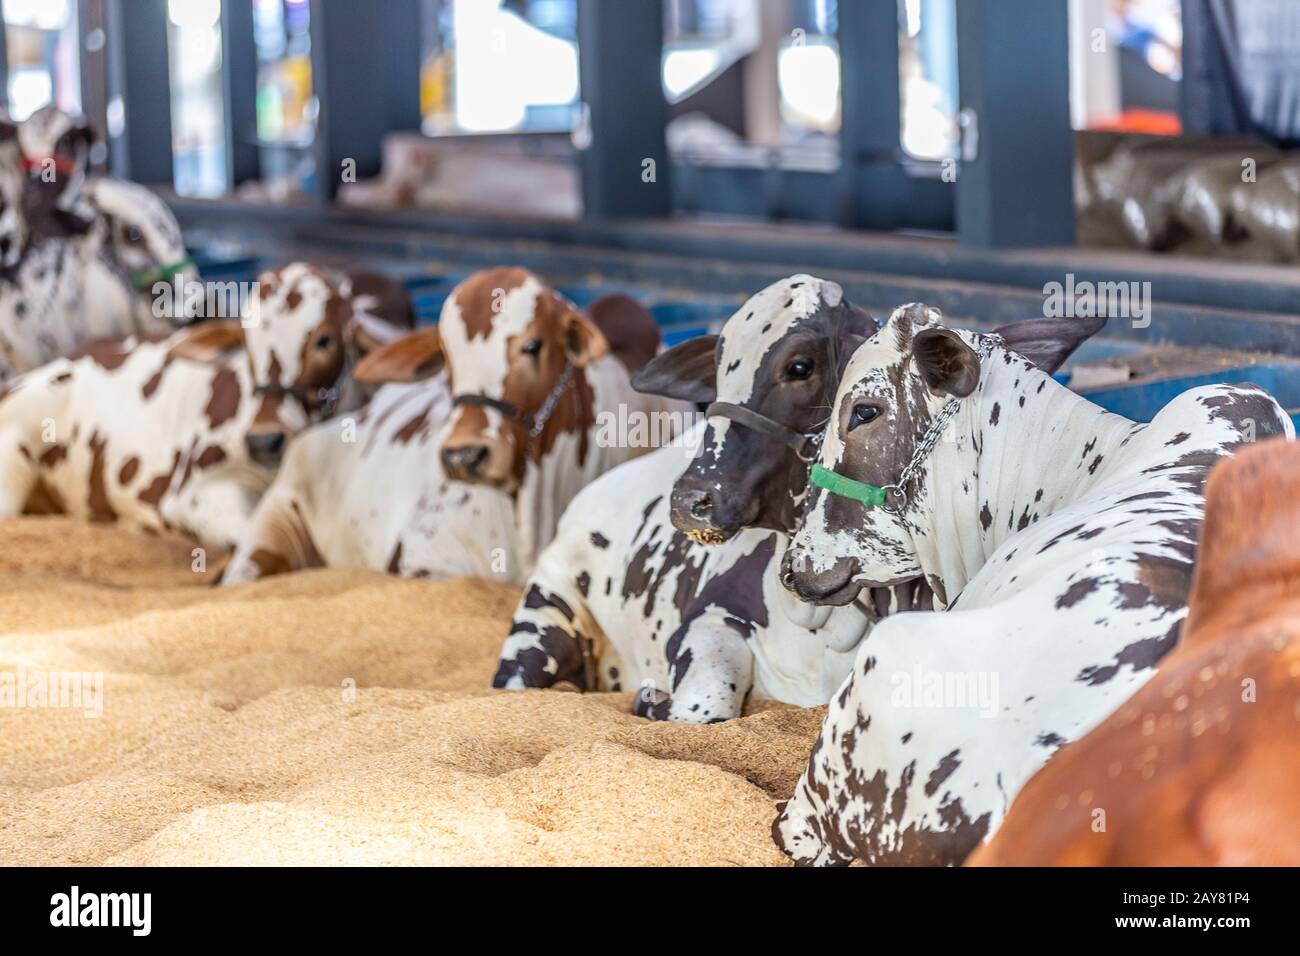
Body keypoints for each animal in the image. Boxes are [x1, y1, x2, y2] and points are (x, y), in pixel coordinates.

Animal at [491, 278, 1101, 721]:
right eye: (716, 377)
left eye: (800, 367)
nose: (691, 499)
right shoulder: (709, 614)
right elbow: (703, 707)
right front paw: (653, 701)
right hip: (546, 607)